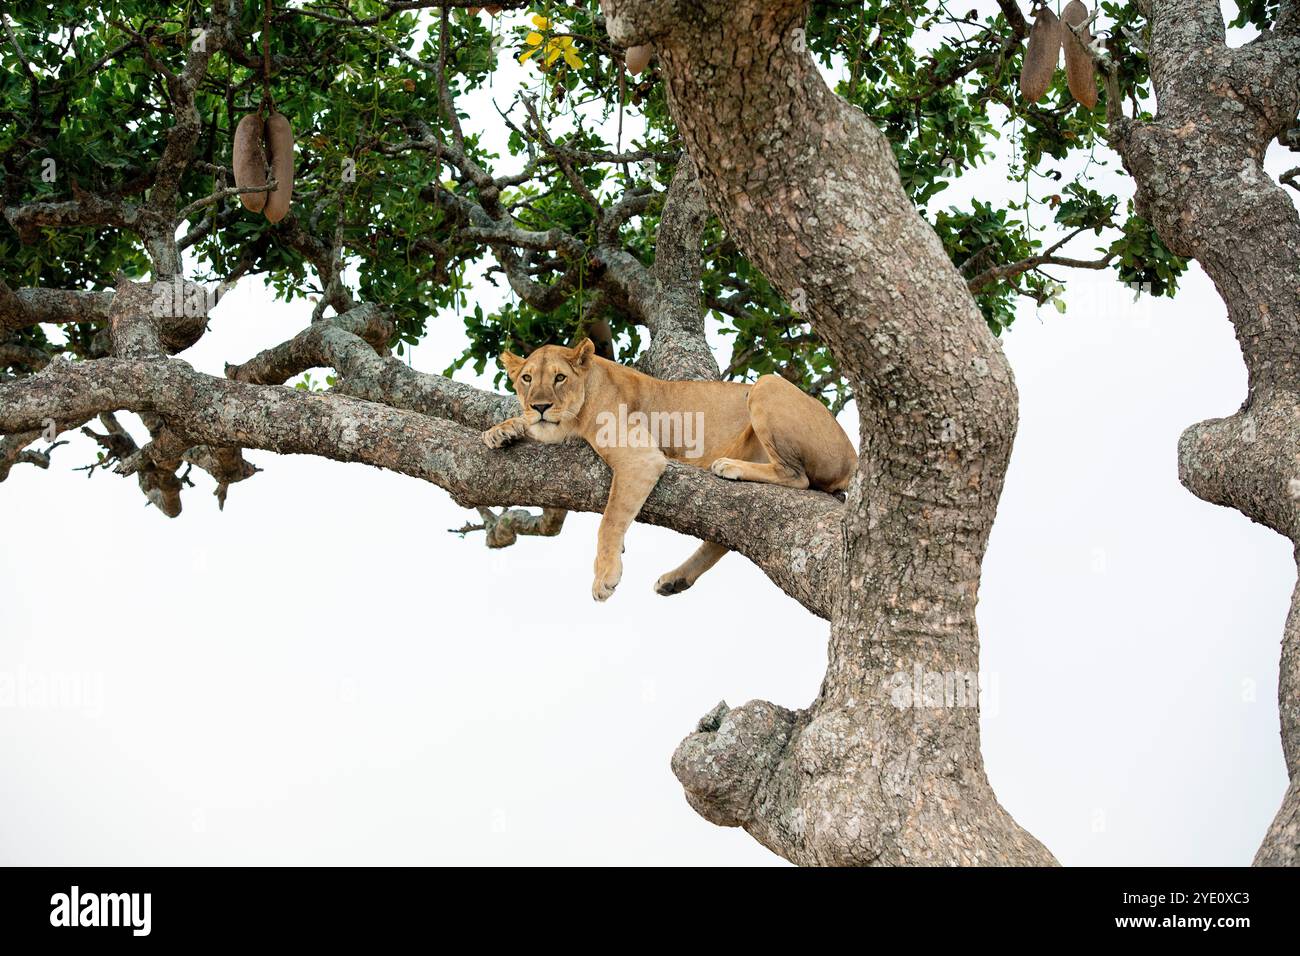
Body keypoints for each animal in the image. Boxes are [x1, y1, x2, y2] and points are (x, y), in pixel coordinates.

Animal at [482, 339, 856, 601]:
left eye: (560, 378)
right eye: (527, 378)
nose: (541, 406)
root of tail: (853, 454)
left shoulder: (640, 456)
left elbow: (611, 519)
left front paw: (605, 575)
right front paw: (501, 430)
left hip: (766, 384)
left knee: (797, 476)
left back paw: (730, 466)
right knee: (722, 538)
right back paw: (676, 580)